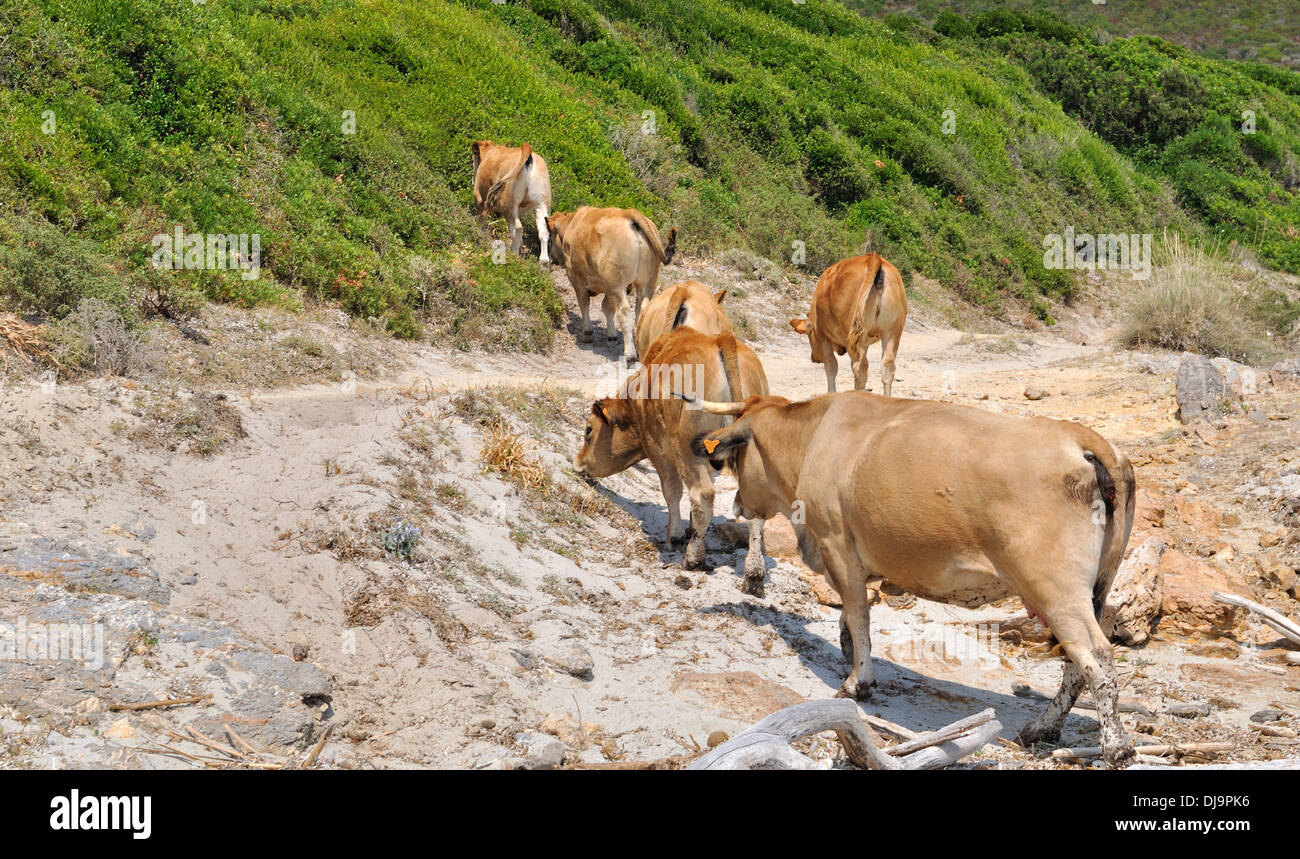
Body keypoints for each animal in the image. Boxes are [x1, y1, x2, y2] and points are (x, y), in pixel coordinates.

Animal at [546, 206, 677, 361]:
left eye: (550, 237)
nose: (552, 258)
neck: (571, 225)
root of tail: (629, 213)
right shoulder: (609, 287)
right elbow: (607, 307)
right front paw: (611, 335)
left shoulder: (577, 279)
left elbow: (584, 304)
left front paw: (587, 333)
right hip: (647, 282)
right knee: (642, 308)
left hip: (618, 284)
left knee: (625, 311)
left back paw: (630, 354)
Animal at [574, 327, 768, 581]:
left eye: (588, 430)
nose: (577, 463)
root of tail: (722, 339)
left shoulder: (658, 451)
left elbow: (672, 491)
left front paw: (675, 536)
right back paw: (754, 572)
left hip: (687, 451)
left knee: (702, 494)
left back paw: (694, 558)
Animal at [689, 391, 1137, 767]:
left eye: (730, 460)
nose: (738, 504)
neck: (812, 437)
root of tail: (1083, 439)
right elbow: (850, 618)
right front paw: (849, 654)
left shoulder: (837, 544)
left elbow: (858, 614)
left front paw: (857, 682)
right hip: (1095, 587)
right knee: (1075, 664)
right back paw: (1043, 728)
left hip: (1055, 589)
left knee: (1096, 657)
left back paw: (1115, 746)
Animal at [790, 252, 907, 396]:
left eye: (808, 335)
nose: (813, 357)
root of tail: (874, 258)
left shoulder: (823, 337)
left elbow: (831, 367)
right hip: (892, 332)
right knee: (886, 367)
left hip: (852, 334)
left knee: (859, 367)